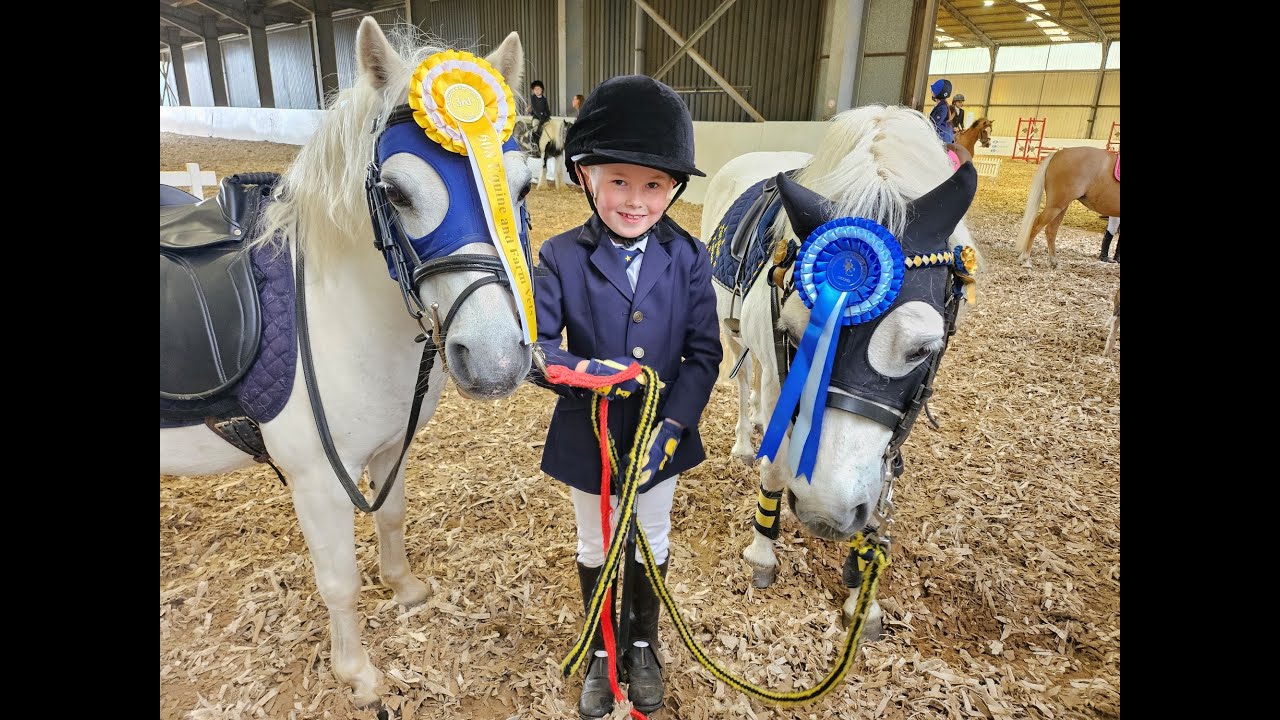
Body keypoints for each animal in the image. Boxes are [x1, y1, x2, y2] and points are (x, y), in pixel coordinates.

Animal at [160, 19, 535, 708]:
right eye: (394, 192)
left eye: (521, 186)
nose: (494, 359)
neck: (340, 317)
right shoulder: (315, 481)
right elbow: (339, 580)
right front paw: (357, 675)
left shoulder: (390, 449)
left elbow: (391, 517)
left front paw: (405, 590)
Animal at [702, 105, 980, 639]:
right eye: (797, 331)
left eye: (922, 349)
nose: (824, 512)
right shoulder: (780, 371)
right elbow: (776, 465)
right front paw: (763, 553)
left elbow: (879, 484)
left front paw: (861, 595)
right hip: (731, 329)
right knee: (743, 382)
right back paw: (745, 442)